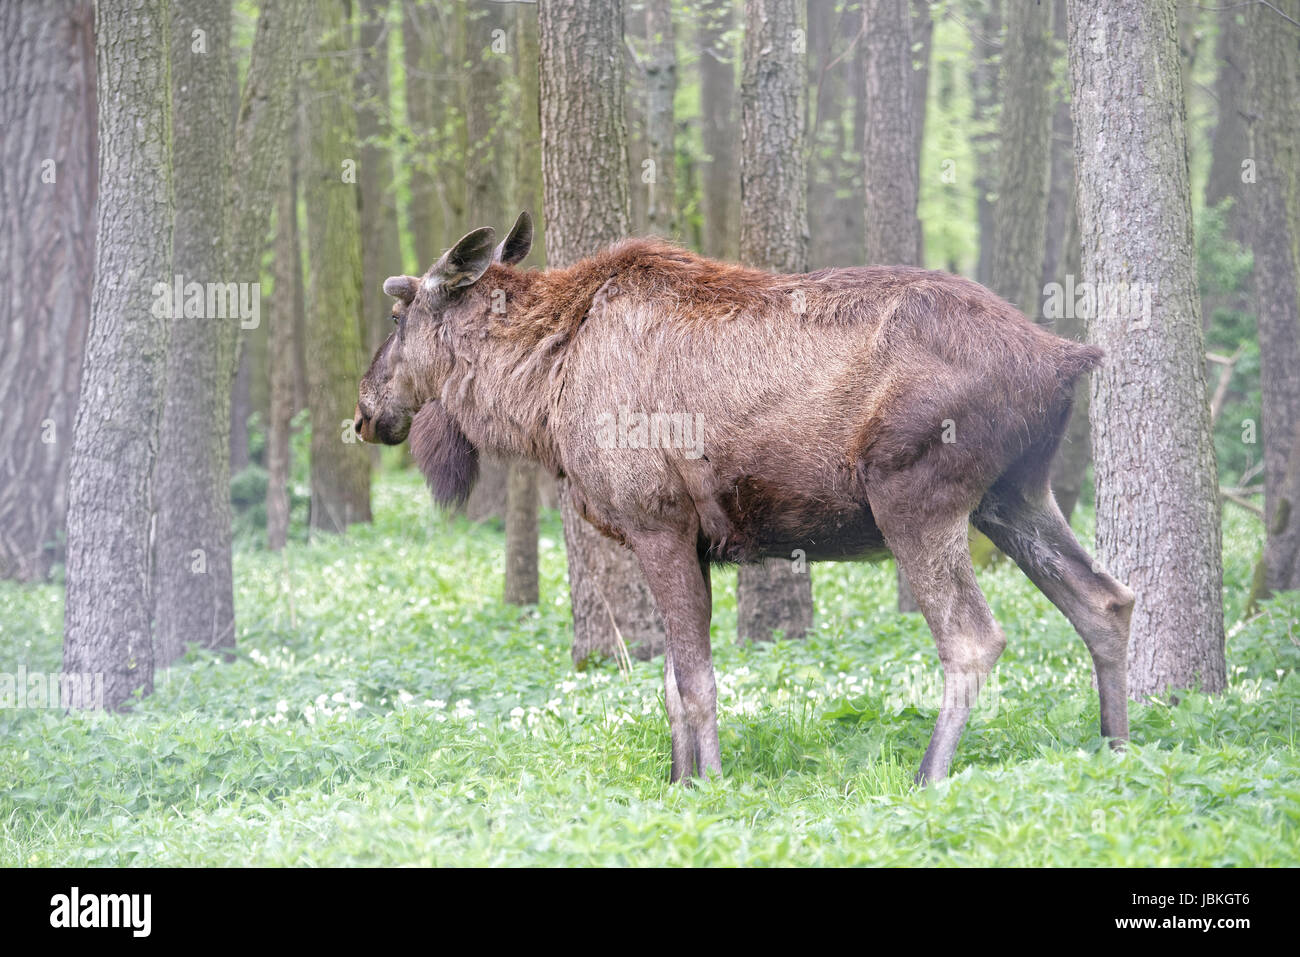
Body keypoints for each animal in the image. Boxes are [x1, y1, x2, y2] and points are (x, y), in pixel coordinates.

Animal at [355, 211, 1135, 785]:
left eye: (397, 317)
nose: (365, 409)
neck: (540, 392)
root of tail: (1067, 358)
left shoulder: (657, 522)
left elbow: (697, 682)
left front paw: (714, 783)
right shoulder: (692, 541)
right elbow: (674, 682)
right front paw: (679, 781)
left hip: (916, 495)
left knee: (975, 638)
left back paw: (927, 776)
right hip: (1014, 496)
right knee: (1106, 602)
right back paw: (1118, 748)